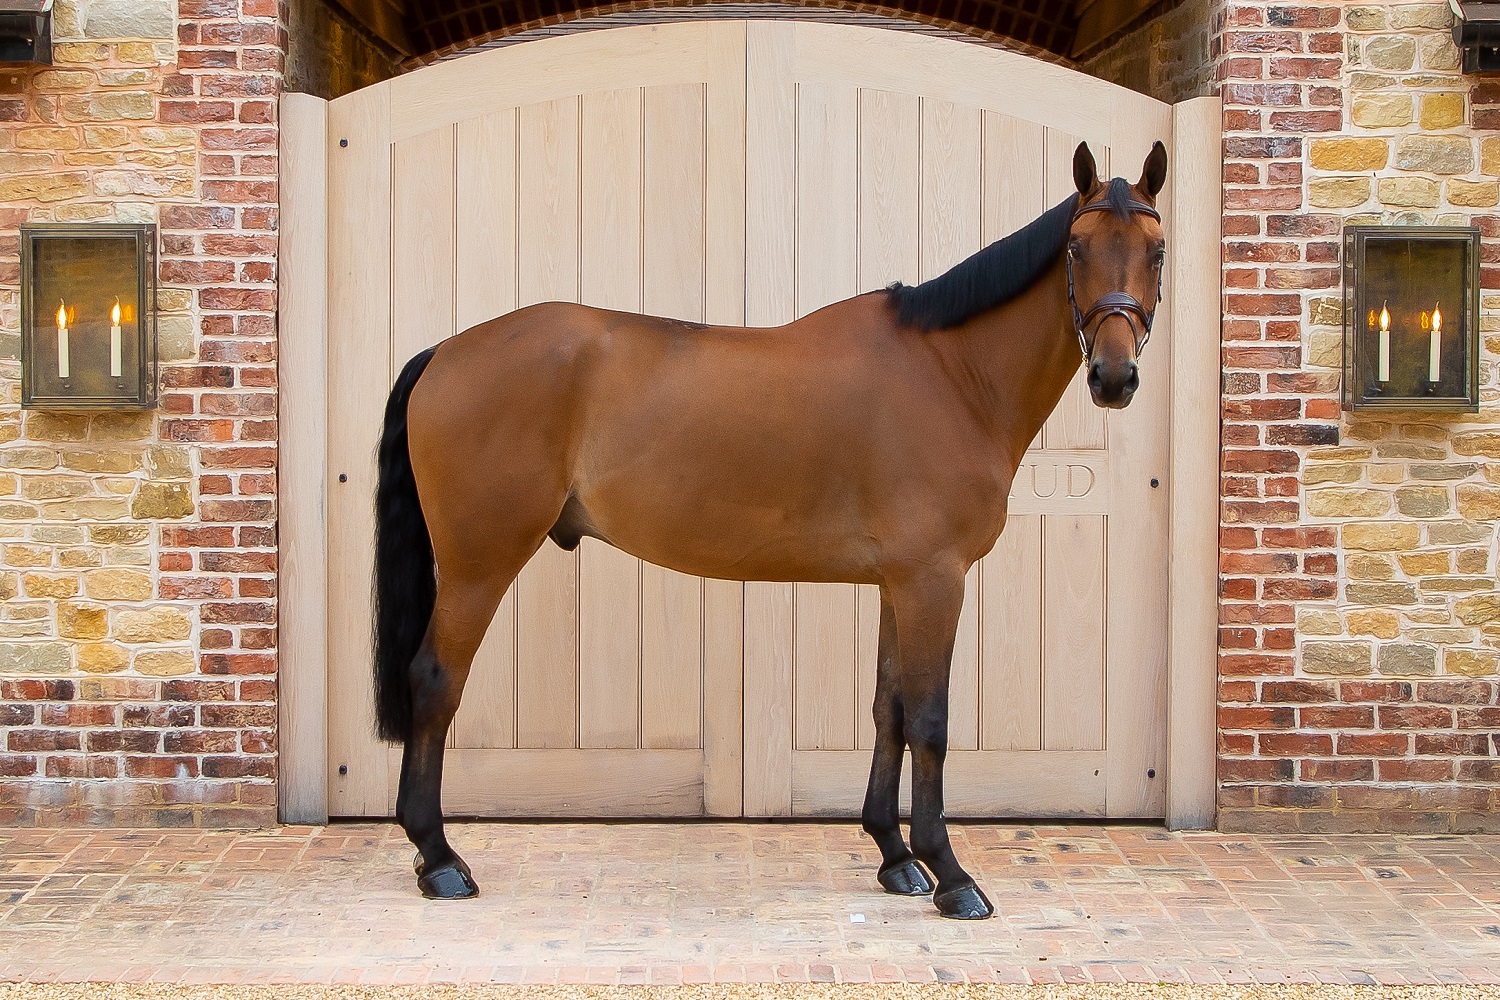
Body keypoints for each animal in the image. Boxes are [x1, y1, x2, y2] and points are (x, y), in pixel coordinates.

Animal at [372, 140, 1169, 919]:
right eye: (1076, 248)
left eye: (1157, 250)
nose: (1113, 377)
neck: (951, 373)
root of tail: (446, 352)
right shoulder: (934, 580)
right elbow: (930, 723)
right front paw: (950, 874)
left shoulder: (900, 583)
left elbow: (888, 711)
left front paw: (895, 857)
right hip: (478, 564)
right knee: (435, 681)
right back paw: (439, 859)